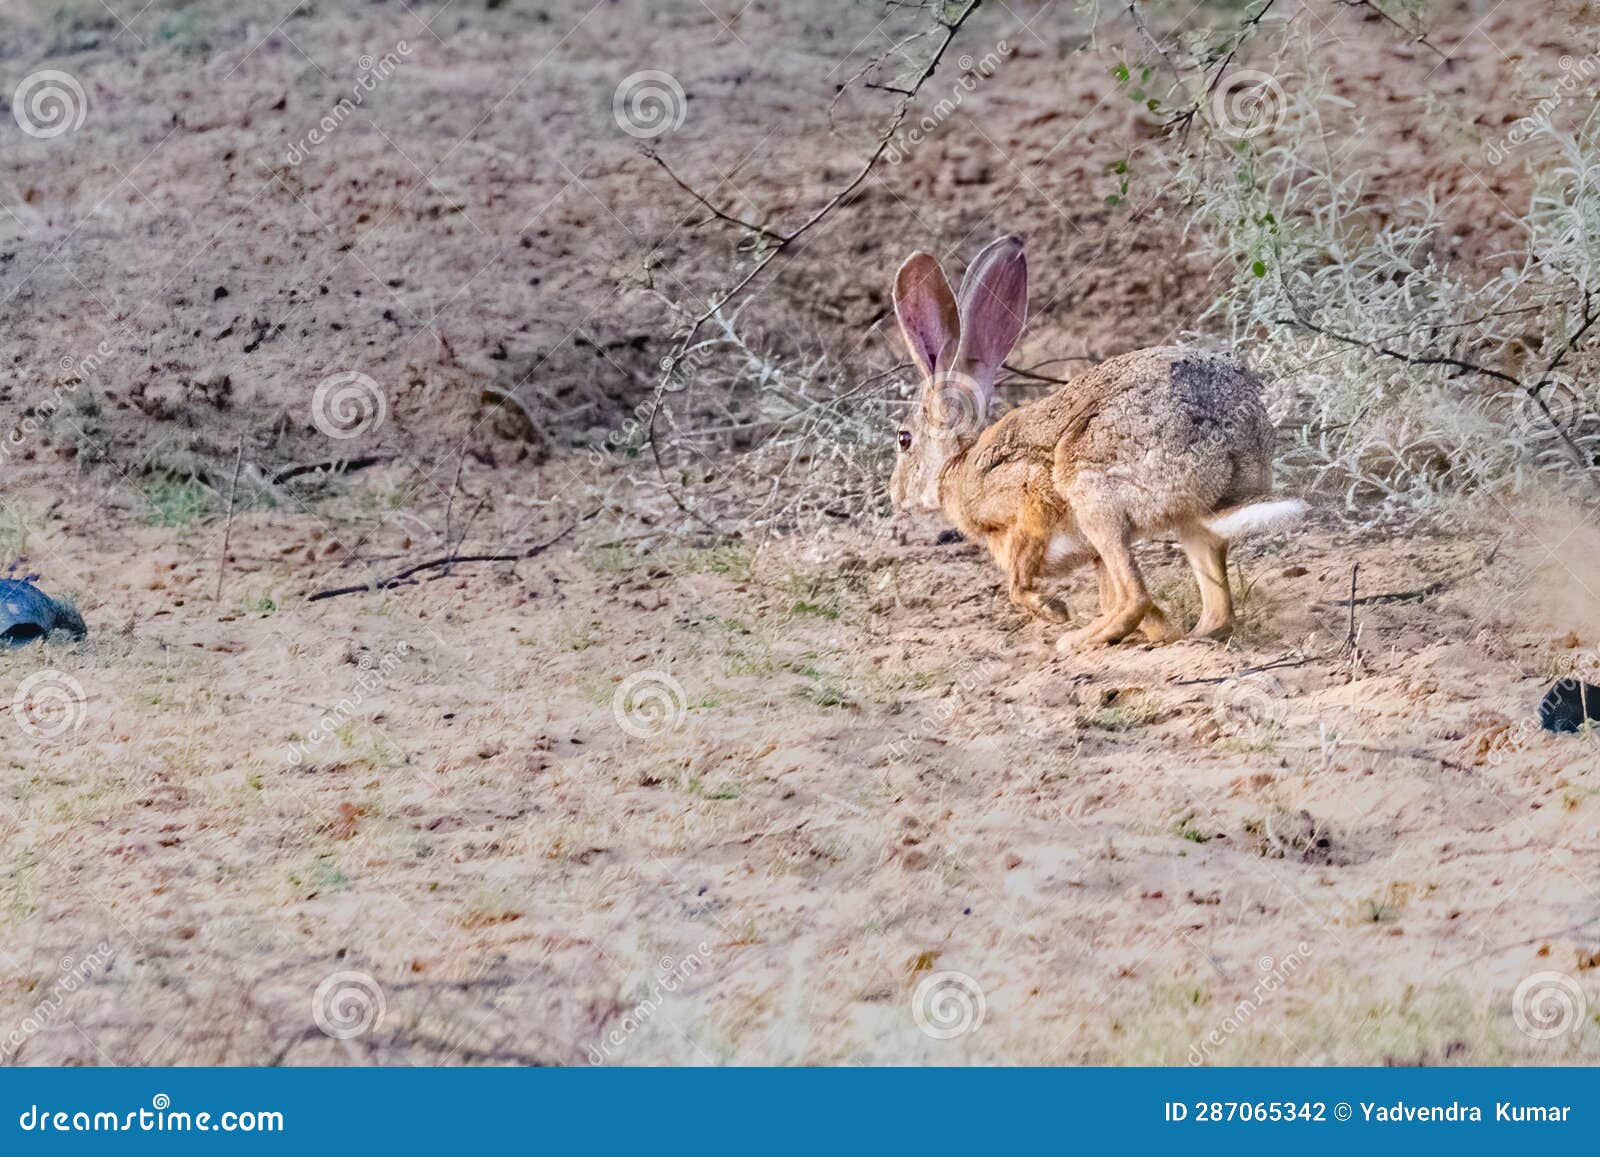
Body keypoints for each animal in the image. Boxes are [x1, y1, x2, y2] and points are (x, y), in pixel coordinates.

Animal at [888, 234, 1306, 649]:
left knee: (1135, 598)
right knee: (1213, 610)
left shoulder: (1026, 497)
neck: (957, 462)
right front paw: (1160, 629)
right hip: (1185, 524)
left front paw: (1054, 610)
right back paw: (1188, 636)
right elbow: (1109, 594)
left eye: (903, 440)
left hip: (1093, 494)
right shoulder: (1091, 554)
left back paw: (1076, 640)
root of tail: (1231, 446)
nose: (895, 493)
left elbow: (1019, 582)